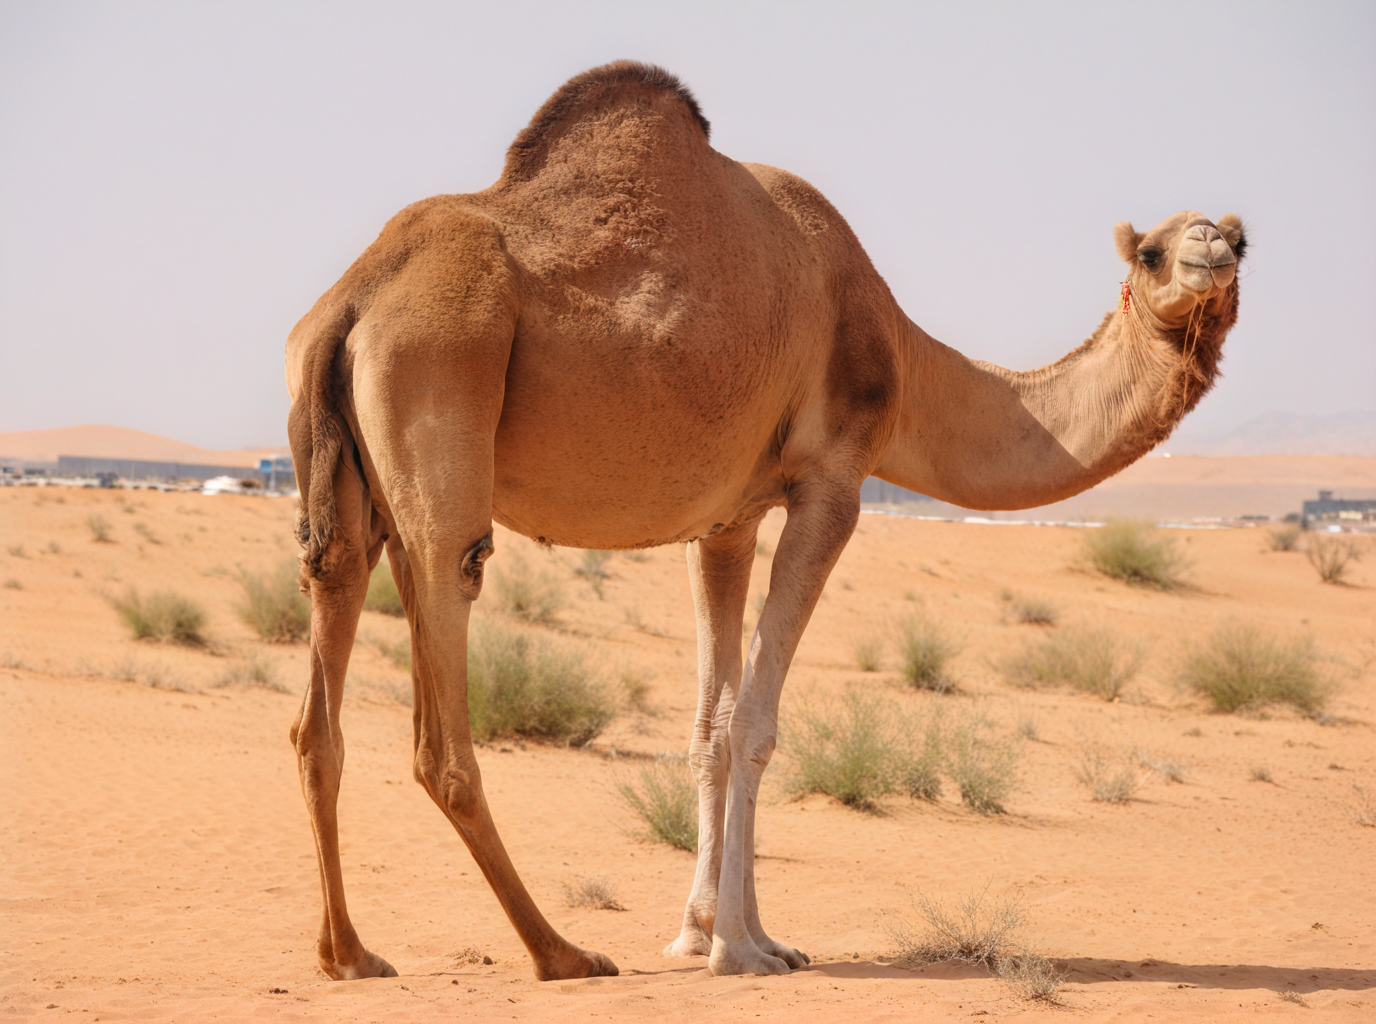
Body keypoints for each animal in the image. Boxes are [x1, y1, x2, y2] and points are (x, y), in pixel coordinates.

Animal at [284, 61, 1245, 982]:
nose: (1212, 248)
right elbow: (755, 725)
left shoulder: (725, 521)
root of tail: (352, 300)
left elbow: (710, 726)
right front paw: (743, 950)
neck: (903, 362)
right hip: (441, 383)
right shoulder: (833, 483)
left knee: (320, 693)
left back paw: (350, 954)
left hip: (343, 491)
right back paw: (561, 954)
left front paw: (705, 933)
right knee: (443, 703)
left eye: (1242, 239)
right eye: (1152, 251)